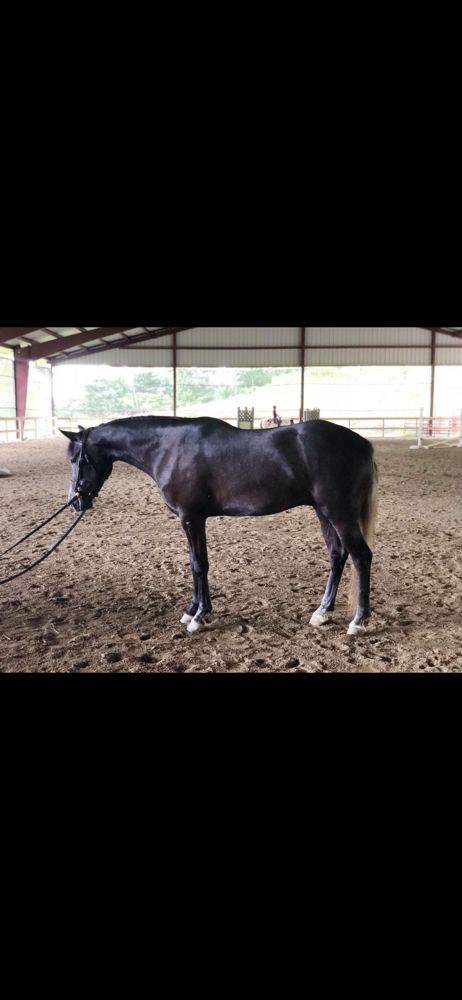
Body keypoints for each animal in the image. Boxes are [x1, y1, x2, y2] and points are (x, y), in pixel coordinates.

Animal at [60, 416, 378, 636]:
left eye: (78, 458)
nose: (75, 501)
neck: (169, 448)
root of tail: (362, 443)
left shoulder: (191, 517)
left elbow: (199, 564)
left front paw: (199, 617)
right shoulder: (194, 519)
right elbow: (194, 563)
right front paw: (193, 611)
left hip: (339, 513)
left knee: (361, 557)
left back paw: (358, 622)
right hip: (324, 513)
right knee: (337, 556)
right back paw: (321, 612)